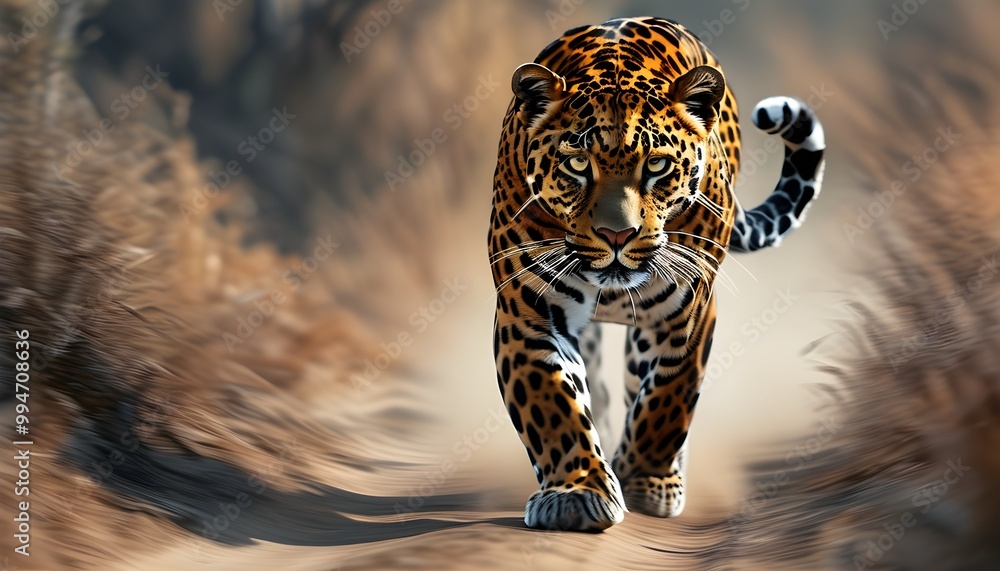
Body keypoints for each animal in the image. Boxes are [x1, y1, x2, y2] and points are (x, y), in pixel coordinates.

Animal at [488, 16, 825, 531]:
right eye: (577, 163)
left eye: (657, 166)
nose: (617, 234)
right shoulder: (527, 313)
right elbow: (553, 405)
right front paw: (576, 493)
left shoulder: (686, 310)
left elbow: (668, 399)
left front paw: (644, 482)